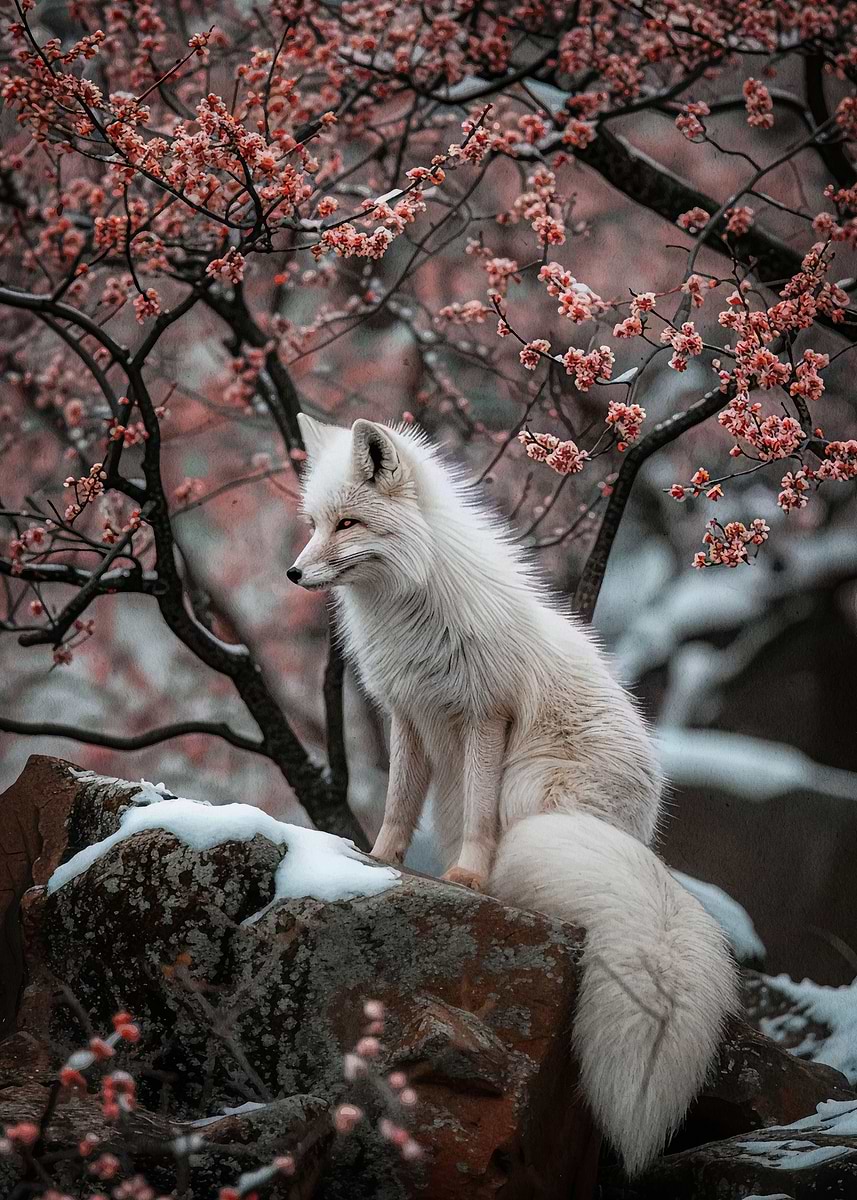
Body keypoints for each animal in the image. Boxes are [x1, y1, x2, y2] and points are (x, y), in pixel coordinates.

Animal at [287, 413, 739, 1176]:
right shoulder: (407, 716)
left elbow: (476, 812)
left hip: (531, 787)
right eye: (315, 524)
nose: (293, 572)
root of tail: (640, 841)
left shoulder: (483, 716)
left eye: (348, 524)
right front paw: (378, 858)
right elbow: (397, 806)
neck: (408, 611)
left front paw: (467, 877)